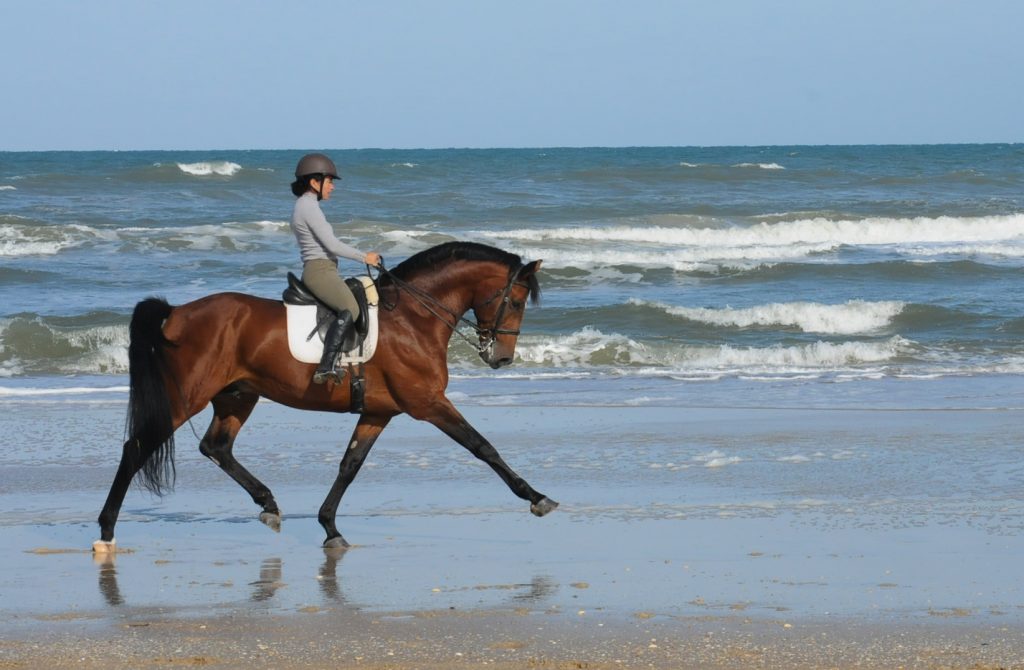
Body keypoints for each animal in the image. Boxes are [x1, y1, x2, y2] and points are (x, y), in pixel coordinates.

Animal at [94, 241, 557, 552]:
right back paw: (106, 530)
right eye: (517, 301)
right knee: (137, 448)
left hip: (237, 396)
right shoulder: (428, 403)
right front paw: (536, 498)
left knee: (216, 446)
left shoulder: (378, 412)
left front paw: (330, 528)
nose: (501, 358)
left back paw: (268, 504)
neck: (413, 319)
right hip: (186, 396)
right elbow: (483, 446)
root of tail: (176, 313)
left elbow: (350, 466)